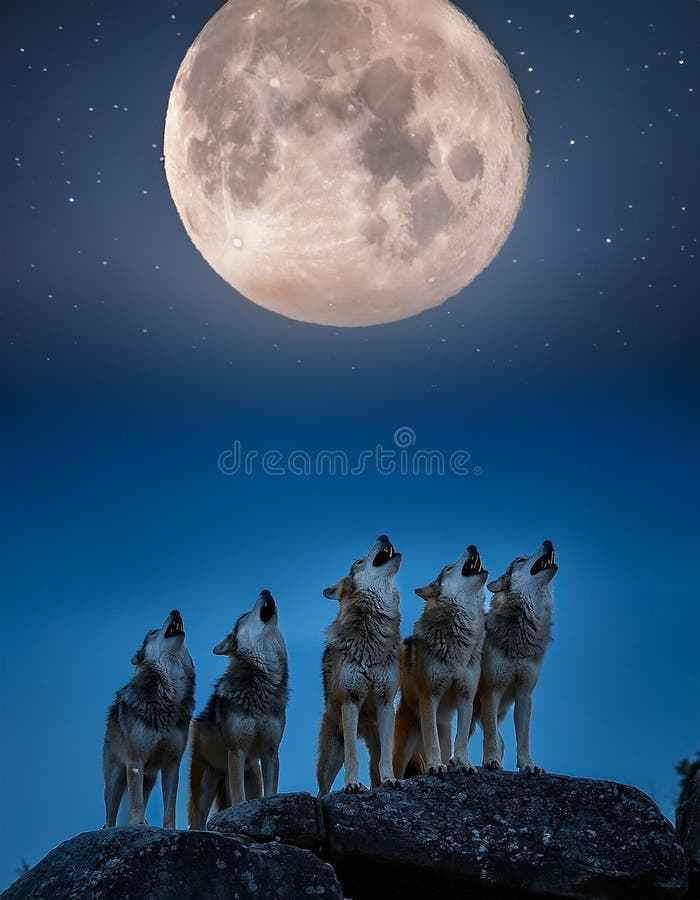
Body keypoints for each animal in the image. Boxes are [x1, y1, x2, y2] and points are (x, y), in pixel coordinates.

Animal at [103, 609, 195, 828]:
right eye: (153, 632)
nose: (175, 611)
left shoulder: (172, 765)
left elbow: (169, 807)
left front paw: (169, 829)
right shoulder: (136, 761)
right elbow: (135, 801)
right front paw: (136, 825)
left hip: (150, 777)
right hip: (116, 779)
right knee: (110, 818)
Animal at [188, 590, 288, 829]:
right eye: (243, 615)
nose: (264, 590)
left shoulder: (271, 752)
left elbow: (271, 792)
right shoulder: (237, 750)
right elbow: (238, 798)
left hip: (253, 778)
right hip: (204, 788)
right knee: (198, 821)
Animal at [317, 535, 403, 794]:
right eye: (358, 562)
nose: (383, 535)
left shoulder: (386, 703)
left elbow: (386, 759)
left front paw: (390, 780)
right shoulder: (351, 701)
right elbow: (352, 756)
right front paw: (352, 784)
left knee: (376, 763)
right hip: (331, 755)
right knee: (321, 790)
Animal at [393, 545, 488, 779]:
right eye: (449, 568)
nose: (472, 546)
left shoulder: (466, 696)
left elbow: (461, 739)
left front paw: (463, 763)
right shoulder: (430, 696)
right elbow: (431, 739)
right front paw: (435, 766)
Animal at [475, 540, 558, 774]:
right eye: (520, 560)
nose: (548, 541)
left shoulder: (524, 694)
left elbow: (523, 739)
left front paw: (528, 766)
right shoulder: (491, 691)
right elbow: (490, 737)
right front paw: (490, 761)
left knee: (501, 740)